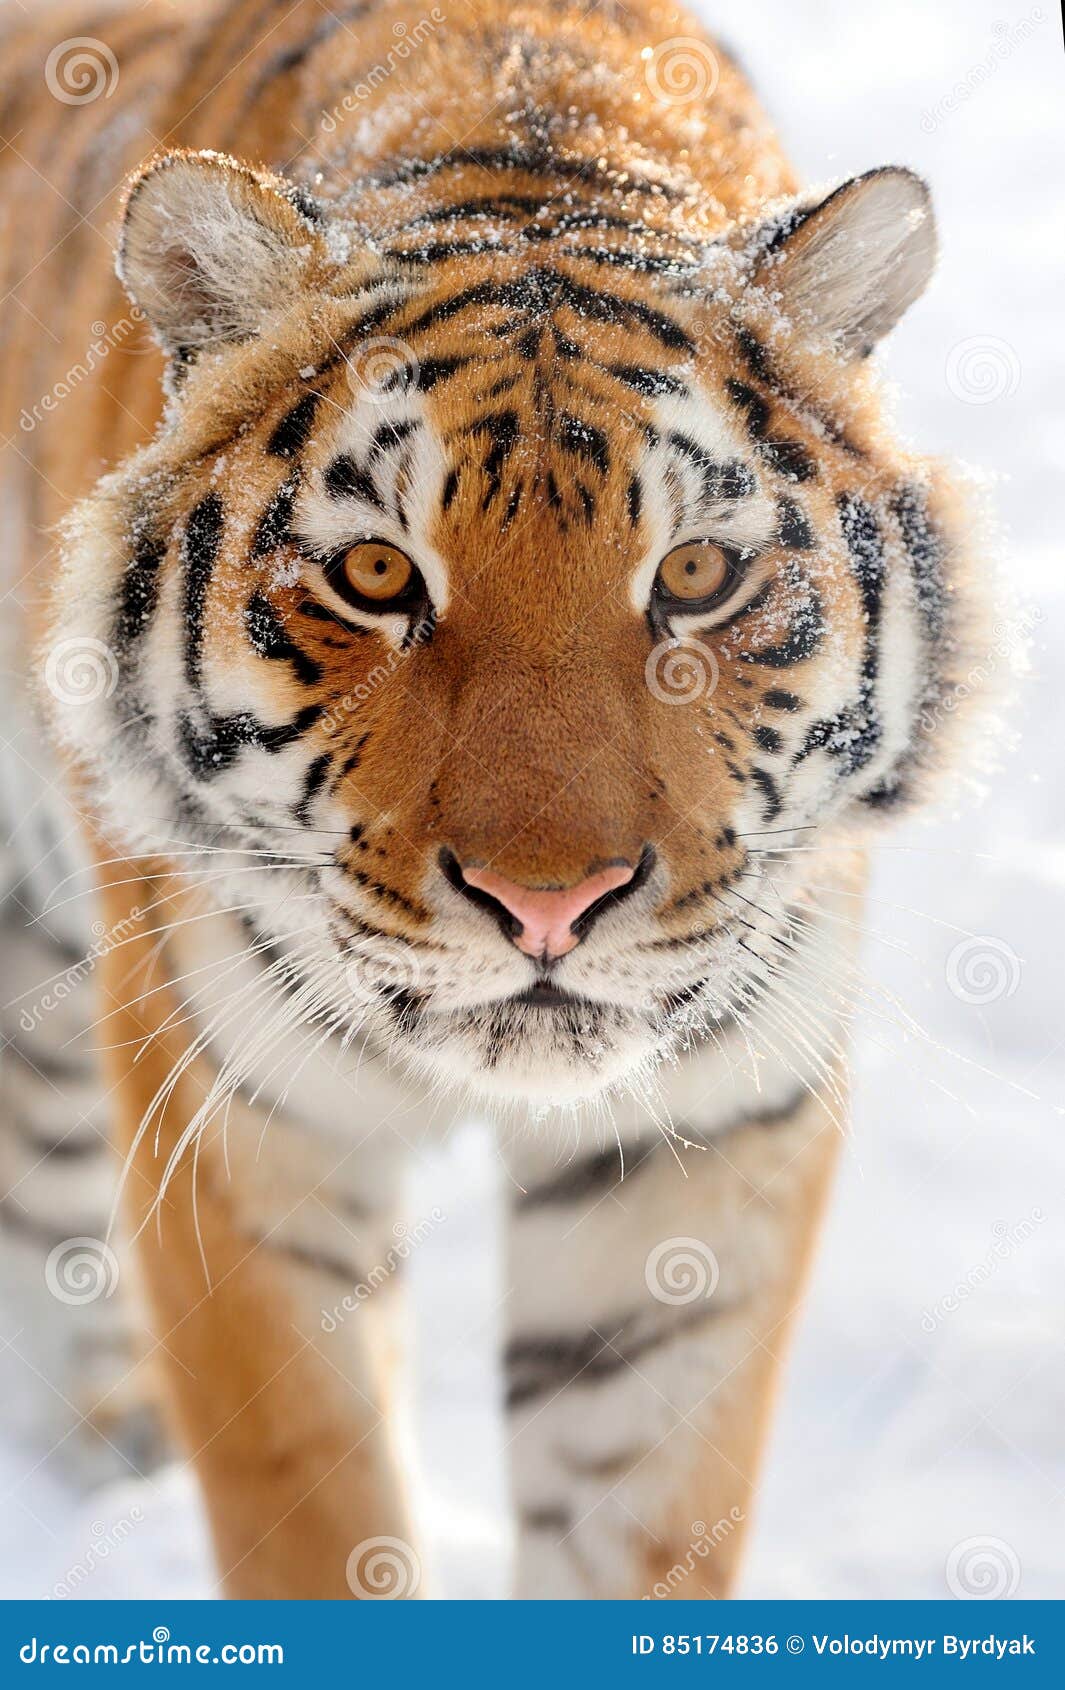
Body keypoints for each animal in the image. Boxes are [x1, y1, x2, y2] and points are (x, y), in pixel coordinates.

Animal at [0, 0, 983, 1600]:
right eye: (375, 574)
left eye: (697, 575)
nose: (548, 903)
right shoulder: (236, 1114)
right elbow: (316, 1511)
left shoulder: (704, 1142)